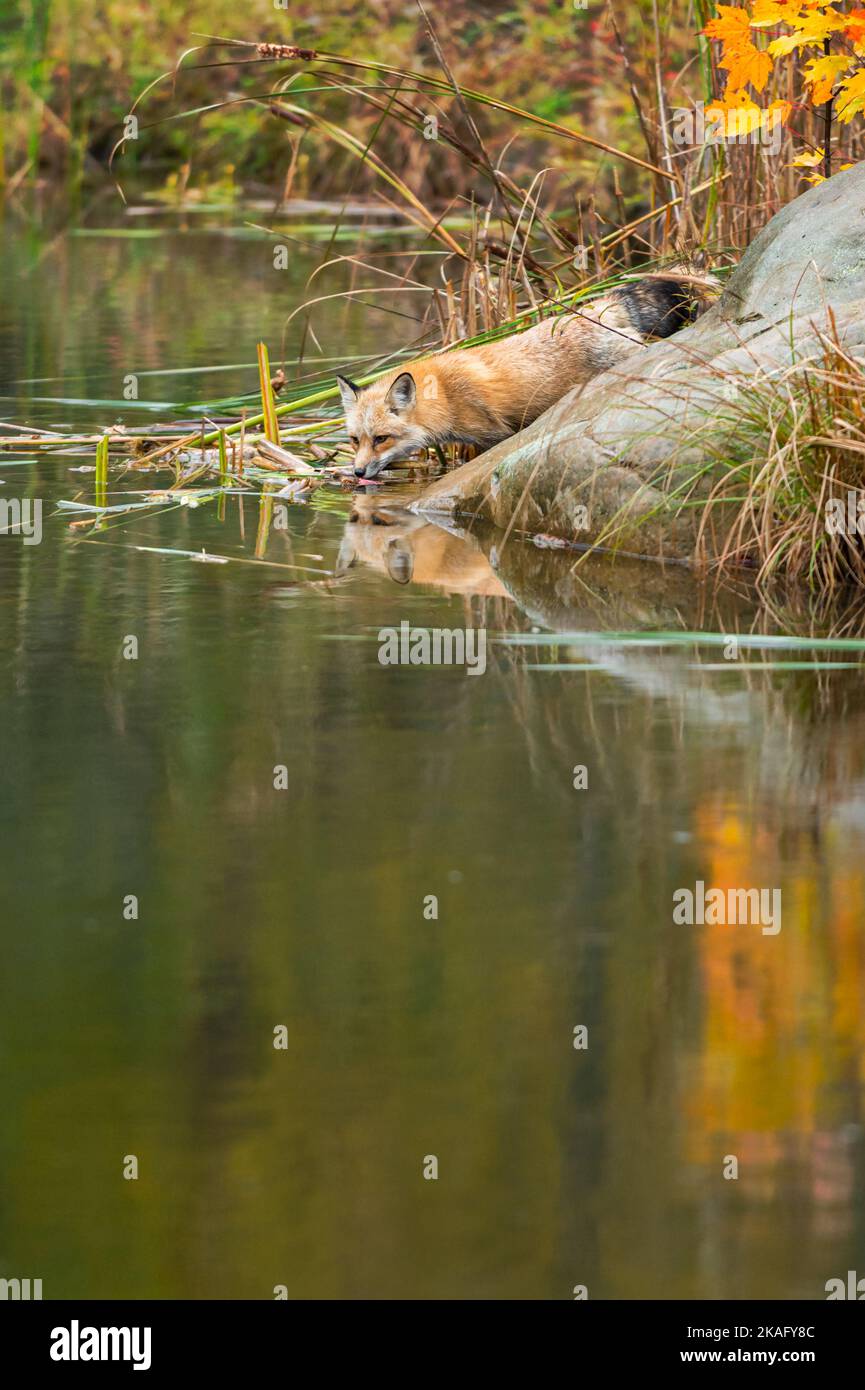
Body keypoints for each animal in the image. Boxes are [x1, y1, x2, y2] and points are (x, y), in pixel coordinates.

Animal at [337, 269, 718, 480]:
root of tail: (593, 310)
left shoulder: (496, 434)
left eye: (381, 439)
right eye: (355, 440)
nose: (356, 472)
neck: (446, 393)